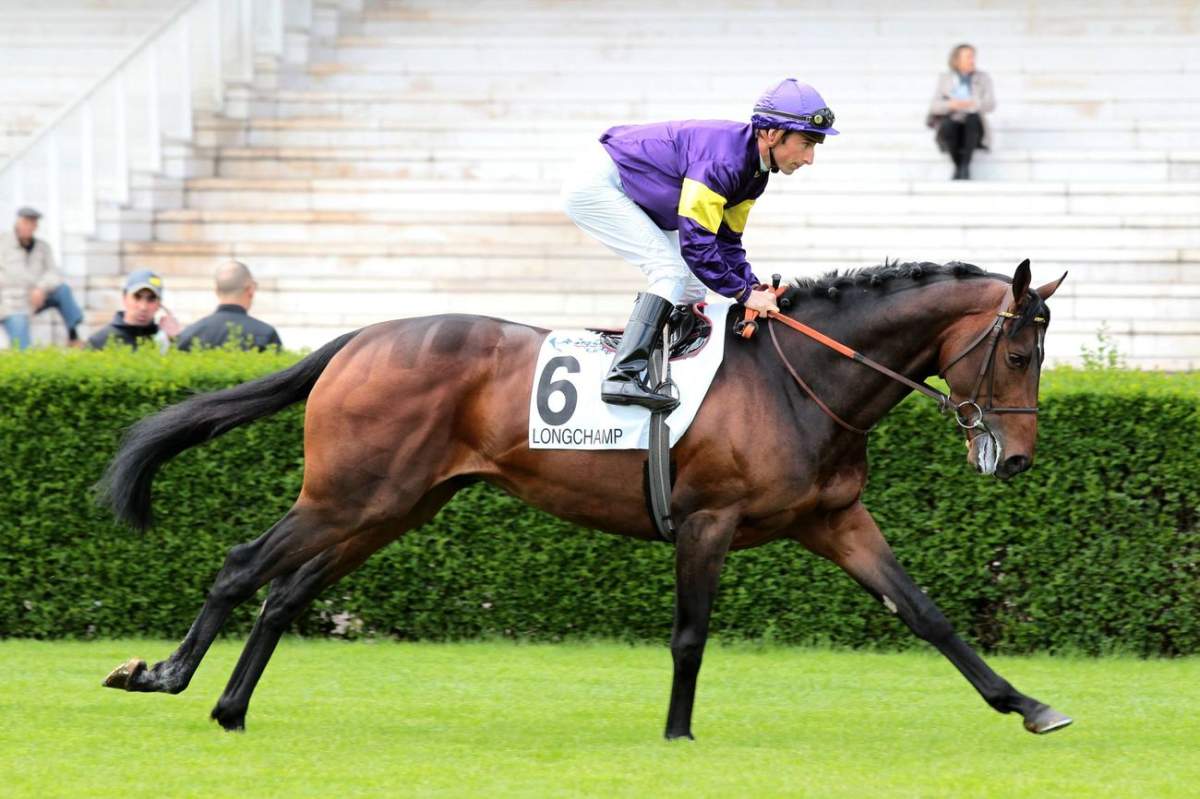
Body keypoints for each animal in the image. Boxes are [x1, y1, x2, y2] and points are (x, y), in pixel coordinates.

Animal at [100, 258, 1072, 739]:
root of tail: (361, 336)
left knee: (288, 592)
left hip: (393, 505)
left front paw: (1029, 705)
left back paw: (231, 707)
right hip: (349, 494)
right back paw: (161, 674)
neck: (799, 377)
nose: (1019, 459)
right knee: (242, 567)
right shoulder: (708, 519)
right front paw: (677, 737)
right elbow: (689, 635)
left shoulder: (834, 519)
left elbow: (926, 614)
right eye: (1021, 352)